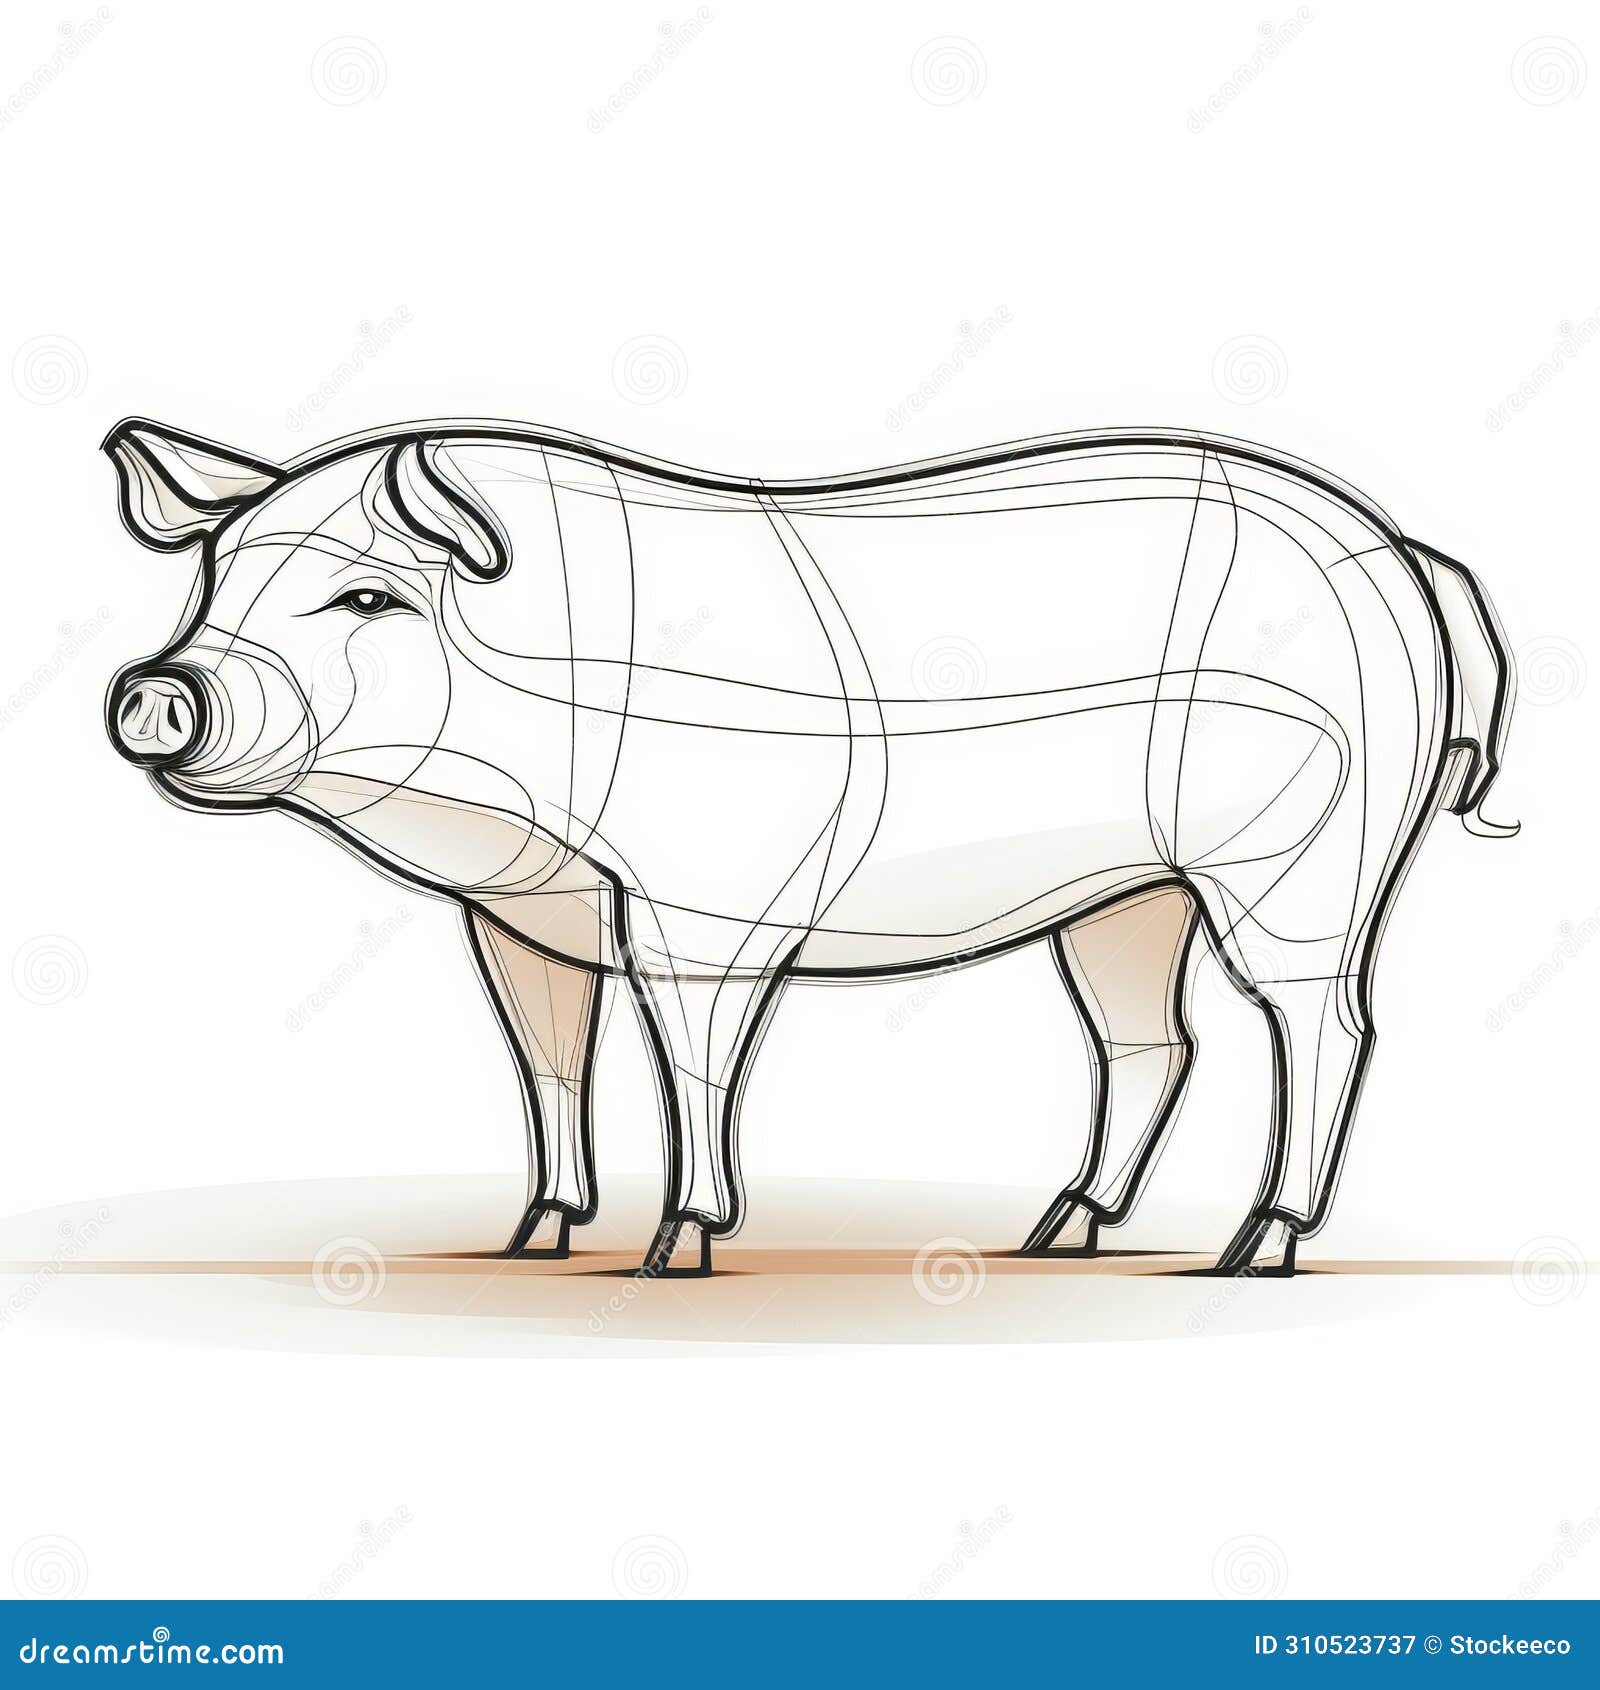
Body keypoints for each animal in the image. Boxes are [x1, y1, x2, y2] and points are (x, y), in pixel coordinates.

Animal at [105, 418, 1516, 1277]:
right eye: (216, 577)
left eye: (368, 596)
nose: (155, 689)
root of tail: (1399, 553)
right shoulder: (517, 914)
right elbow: (549, 1060)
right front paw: (531, 1236)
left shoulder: (705, 907)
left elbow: (694, 1061)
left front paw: (672, 1250)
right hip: (1127, 894)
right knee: (1152, 1039)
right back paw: (1054, 1232)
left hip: (1307, 863)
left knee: (1327, 1024)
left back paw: (1252, 1248)